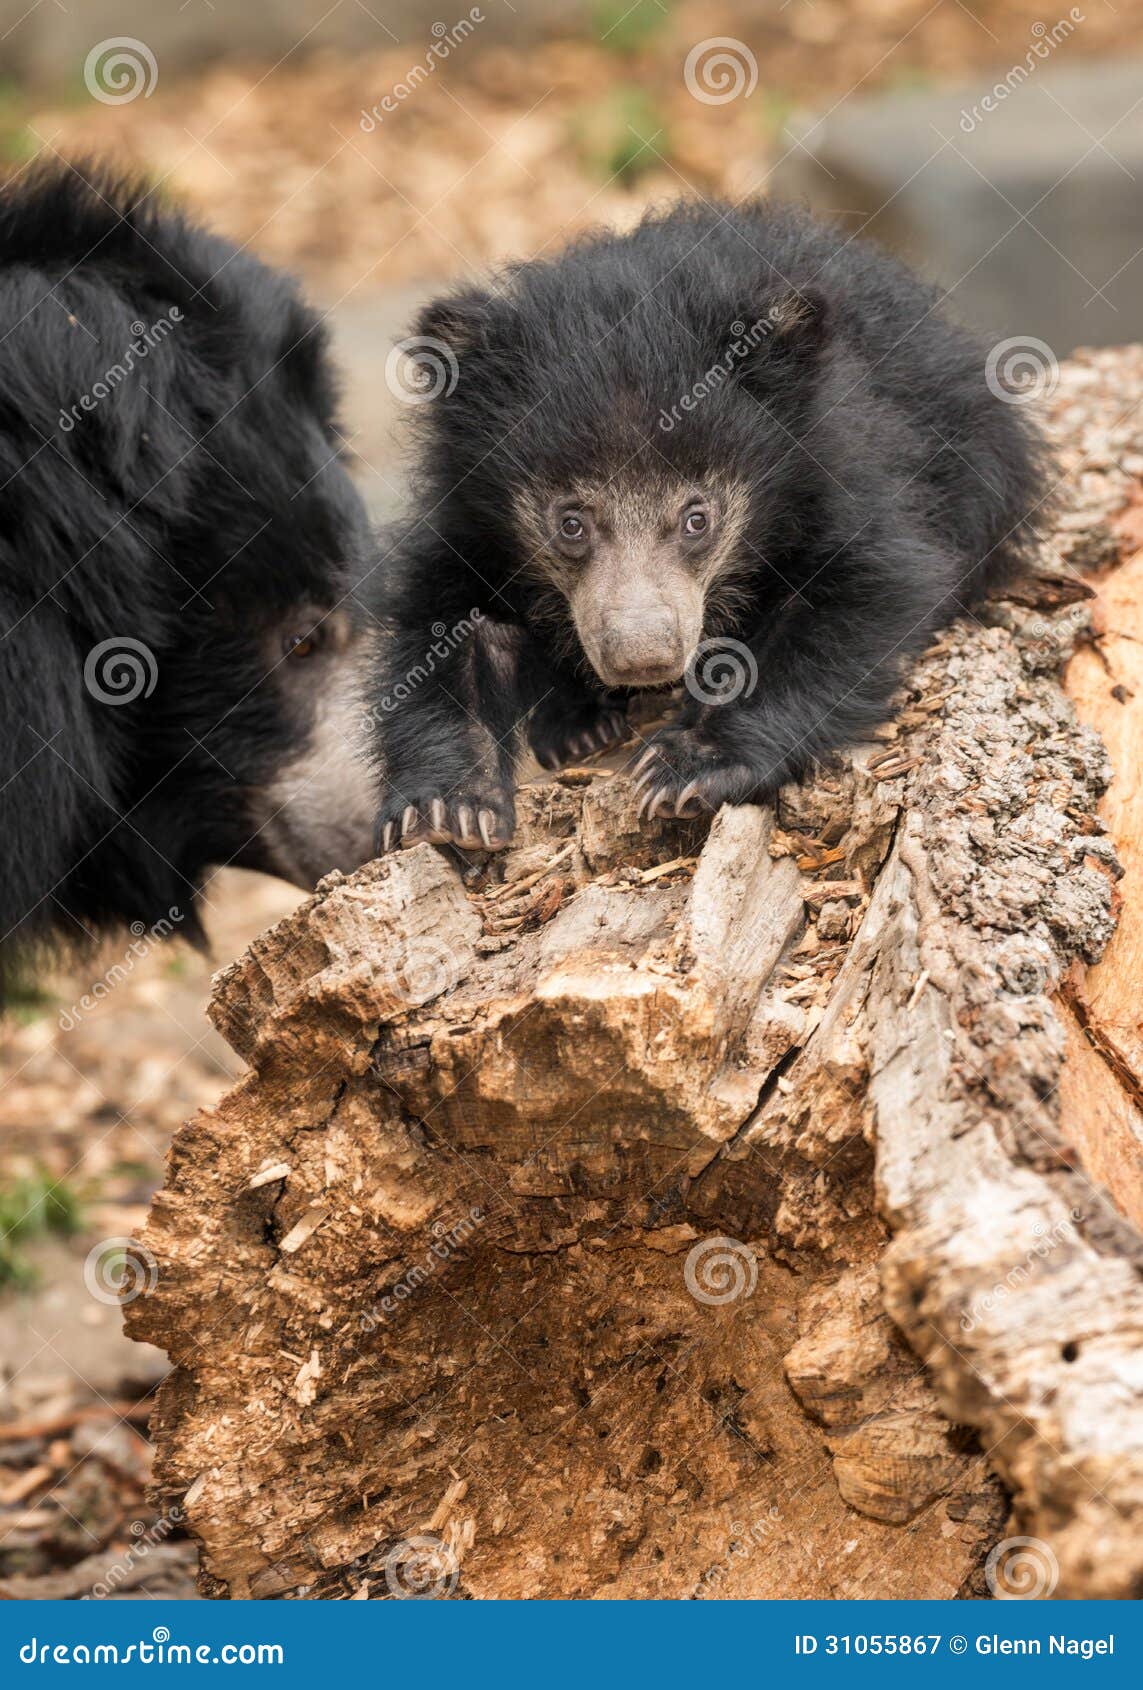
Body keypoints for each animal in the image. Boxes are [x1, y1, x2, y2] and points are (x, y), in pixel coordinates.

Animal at [369, 198, 1045, 853]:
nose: (643, 658)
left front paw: (686, 767)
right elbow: (447, 627)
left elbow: (861, 590)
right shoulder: (469, 517)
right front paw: (450, 805)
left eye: (697, 518)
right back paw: (579, 728)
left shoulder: (843, 468)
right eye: (570, 524)